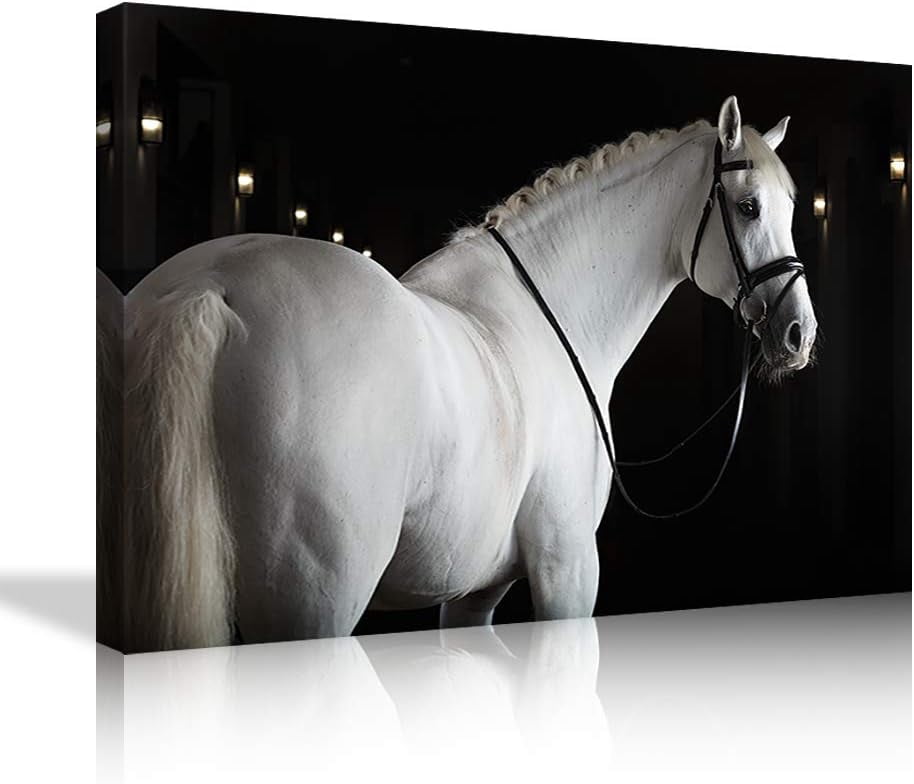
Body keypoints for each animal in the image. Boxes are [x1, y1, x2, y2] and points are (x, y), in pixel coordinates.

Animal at [120, 96, 817, 652]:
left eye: (789, 208)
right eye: (748, 206)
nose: (798, 333)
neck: (551, 312)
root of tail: (209, 288)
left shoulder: (472, 591)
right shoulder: (568, 566)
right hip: (316, 598)